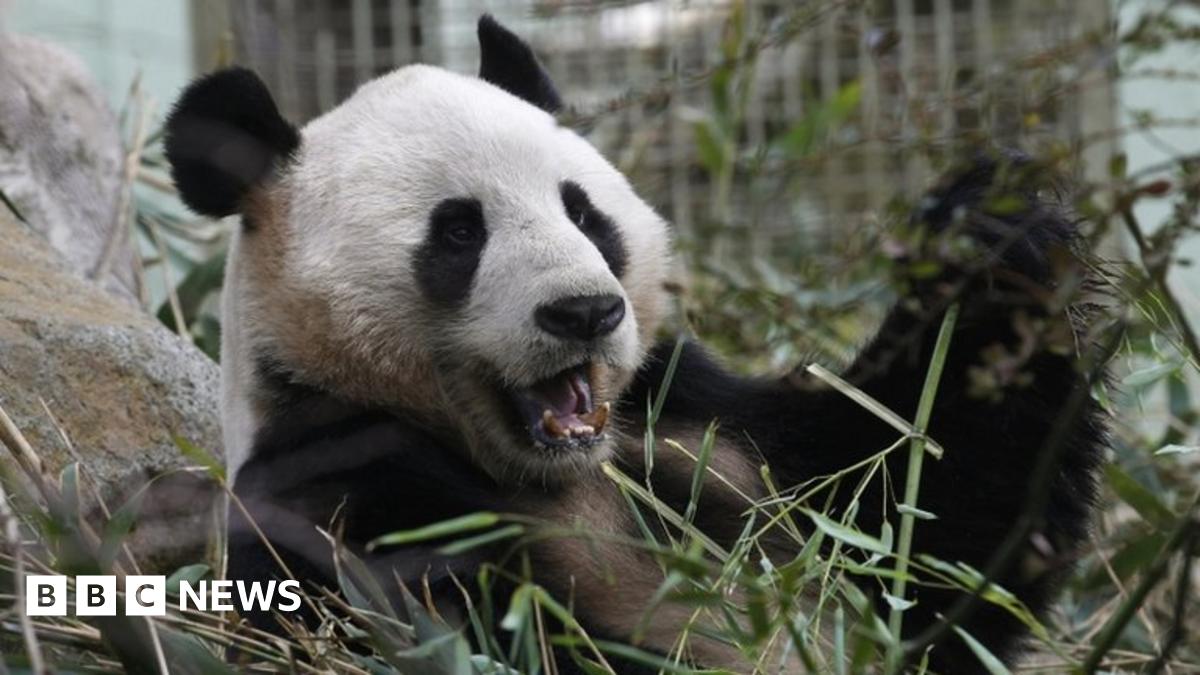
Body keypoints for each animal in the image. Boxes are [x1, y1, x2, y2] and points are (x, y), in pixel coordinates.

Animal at [164, 15, 1106, 674]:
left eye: (584, 213)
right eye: (459, 232)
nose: (583, 311)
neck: (549, 469)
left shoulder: (693, 415)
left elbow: (922, 526)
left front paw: (993, 230)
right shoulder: (335, 482)